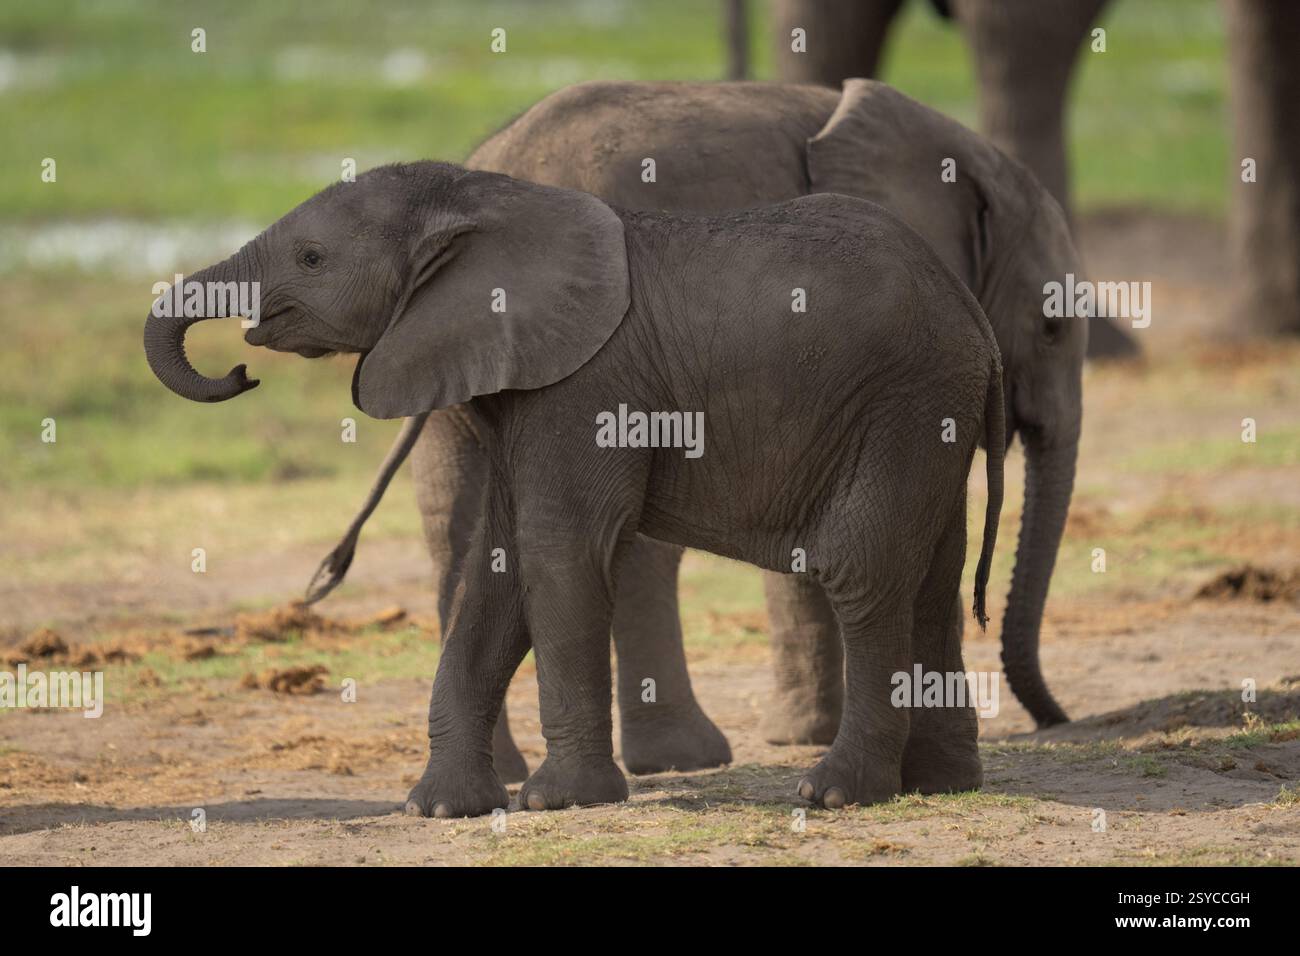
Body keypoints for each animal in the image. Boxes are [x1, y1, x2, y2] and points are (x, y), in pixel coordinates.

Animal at [143, 162, 1007, 815]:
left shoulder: (585, 388)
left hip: (902, 400)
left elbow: (559, 551)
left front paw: (558, 800)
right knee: (931, 579)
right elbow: (500, 567)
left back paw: (834, 793)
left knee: (860, 570)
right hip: (928, 415)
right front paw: (438, 807)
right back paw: (941, 783)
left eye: (312, 259)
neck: (475, 197)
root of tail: (974, 312)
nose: (240, 368)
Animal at [308, 79, 1085, 777]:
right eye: (1052, 328)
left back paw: (504, 775)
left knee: (452, 523)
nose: (1057, 722)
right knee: (627, 546)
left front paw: (806, 735)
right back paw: (680, 760)